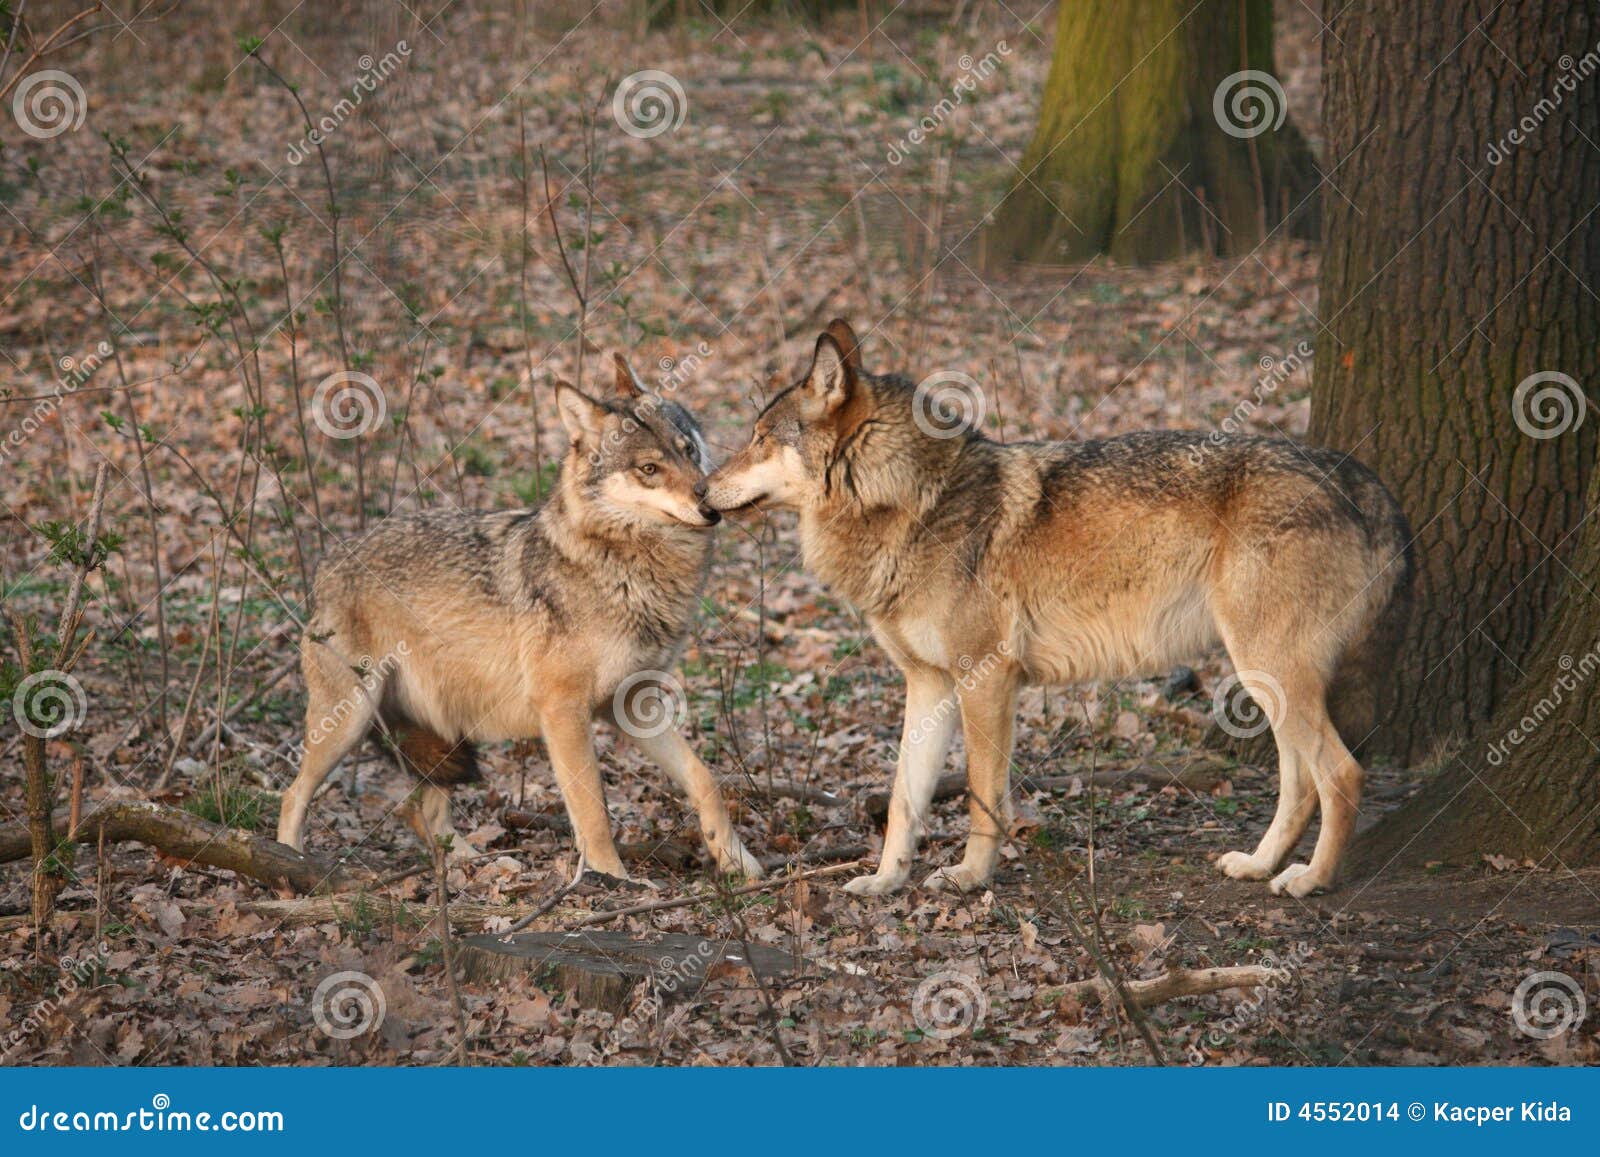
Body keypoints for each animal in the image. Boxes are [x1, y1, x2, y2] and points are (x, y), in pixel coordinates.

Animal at [276, 354, 762, 880]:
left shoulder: (634, 704)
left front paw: (737, 860)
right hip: (348, 720)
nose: (709, 504)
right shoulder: (562, 710)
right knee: (292, 793)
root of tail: (327, 562)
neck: (625, 565)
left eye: (689, 451)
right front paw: (610, 878)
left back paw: (472, 864)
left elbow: (704, 778)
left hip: (440, 730)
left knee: (422, 810)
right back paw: (288, 861)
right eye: (649, 469)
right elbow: (592, 807)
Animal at [700, 320, 1412, 898]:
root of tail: (1357, 477)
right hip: (1267, 679)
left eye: (759, 439)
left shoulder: (985, 678)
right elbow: (904, 801)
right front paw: (883, 882)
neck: (911, 503)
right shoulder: (928, 684)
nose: (701, 493)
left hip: (1270, 669)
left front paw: (969, 877)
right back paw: (1261, 866)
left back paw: (1312, 880)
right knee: (1300, 782)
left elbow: (983, 796)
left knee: (1342, 775)